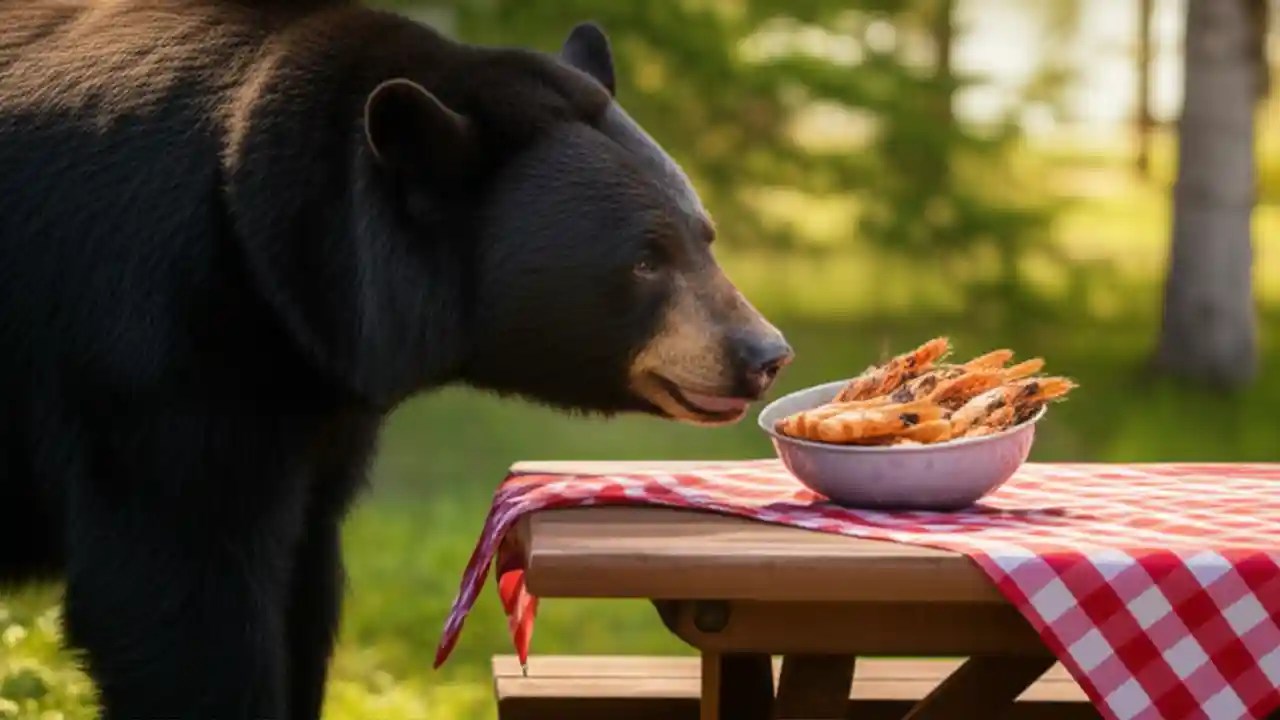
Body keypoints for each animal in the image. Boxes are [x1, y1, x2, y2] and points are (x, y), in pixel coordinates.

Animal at [0, 2, 793, 718]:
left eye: (703, 235)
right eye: (645, 259)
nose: (764, 352)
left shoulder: (315, 400)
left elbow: (302, 583)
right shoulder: (150, 351)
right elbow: (180, 592)